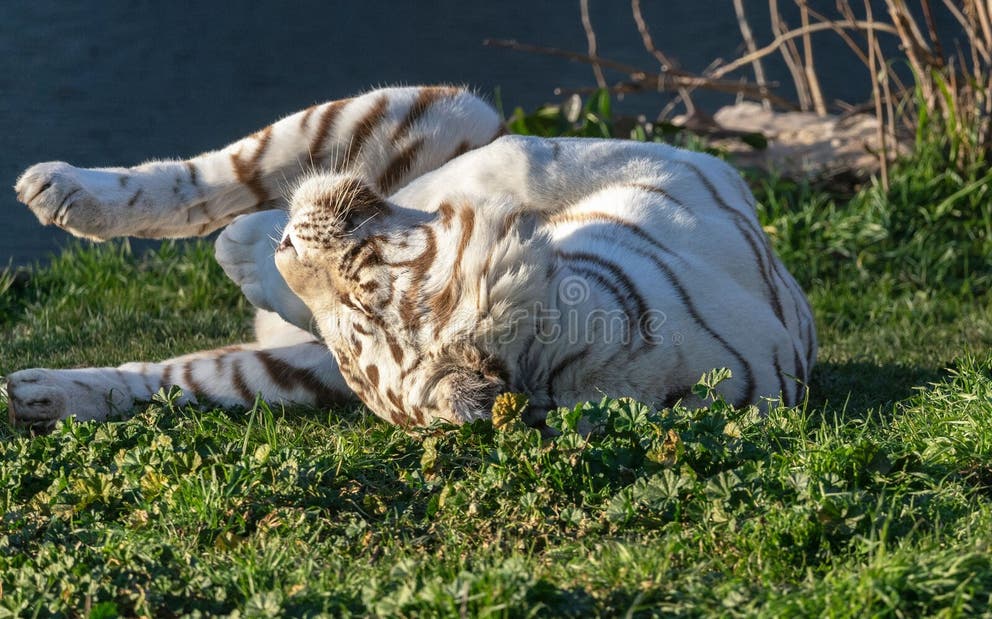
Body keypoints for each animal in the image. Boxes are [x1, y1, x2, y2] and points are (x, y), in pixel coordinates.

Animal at [5, 85, 816, 428]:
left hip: (285, 372)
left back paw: (37, 391)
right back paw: (60, 189)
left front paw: (249, 252)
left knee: (180, 379)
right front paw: (258, 240)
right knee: (220, 172)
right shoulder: (581, 161)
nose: (289, 239)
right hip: (438, 108)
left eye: (355, 307)